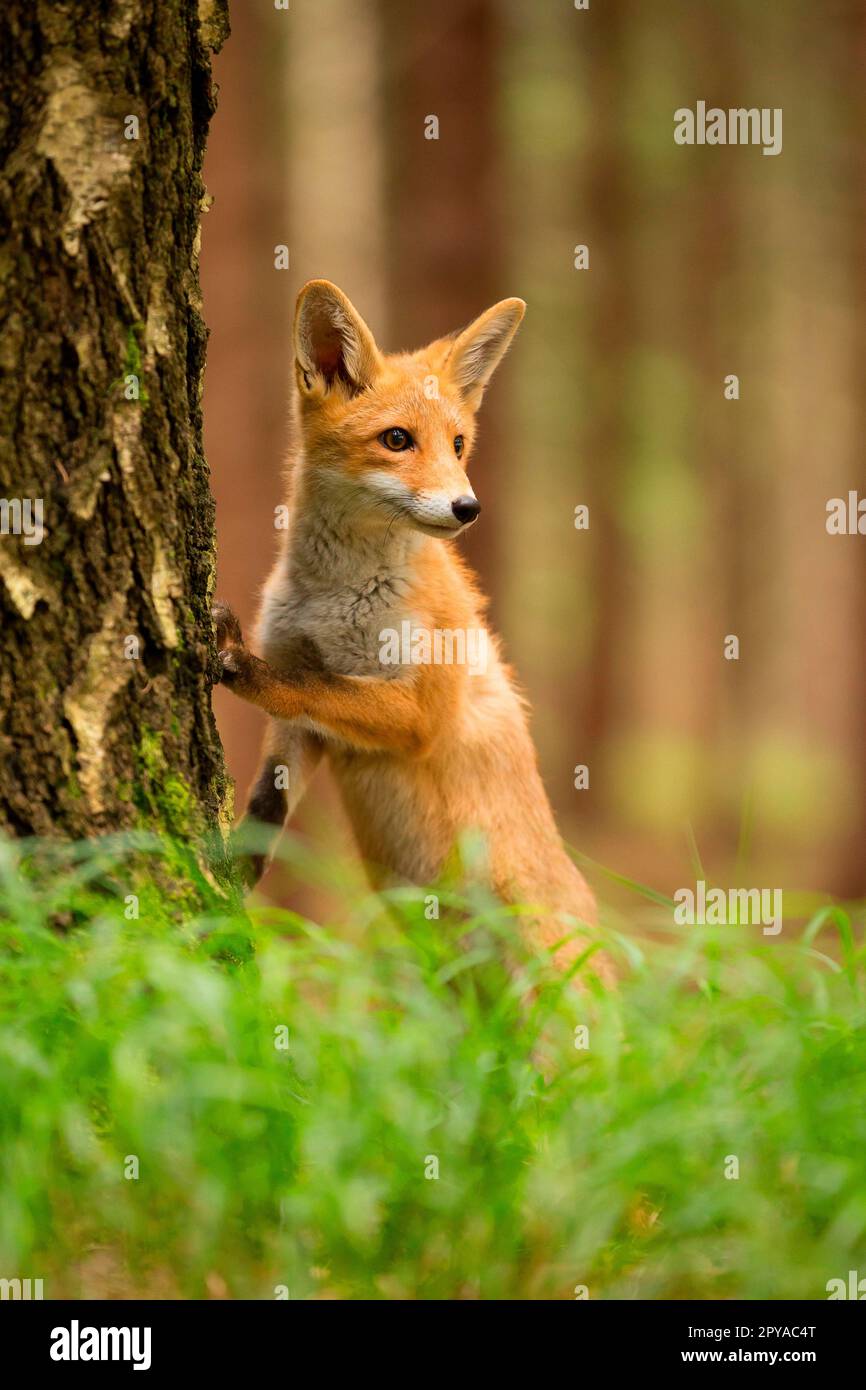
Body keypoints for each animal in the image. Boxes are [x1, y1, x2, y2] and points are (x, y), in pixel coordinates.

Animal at [213, 279, 611, 981]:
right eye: (397, 439)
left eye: (457, 444)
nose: (468, 508)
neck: (336, 598)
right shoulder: (303, 729)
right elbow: (269, 801)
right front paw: (237, 872)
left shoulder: (420, 713)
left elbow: (313, 684)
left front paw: (242, 665)